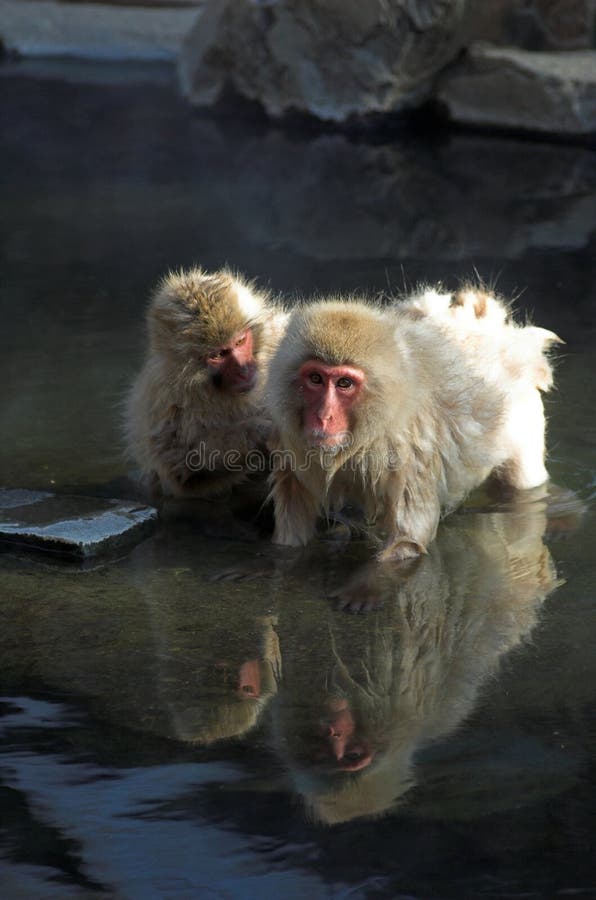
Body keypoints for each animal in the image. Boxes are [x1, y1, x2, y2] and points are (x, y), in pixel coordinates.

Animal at [125, 267, 288, 498]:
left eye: (240, 341)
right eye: (218, 355)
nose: (244, 369)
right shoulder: (163, 398)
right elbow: (182, 469)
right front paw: (258, 432)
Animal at [265, 290, 561, 560]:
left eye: (344, 383)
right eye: (315, 378)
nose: (323, 416)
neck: (368, 432)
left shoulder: (409, 451)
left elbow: (406, 544)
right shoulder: (287, 436)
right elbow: (293, 528)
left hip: (526, 420)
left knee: (522, 482)